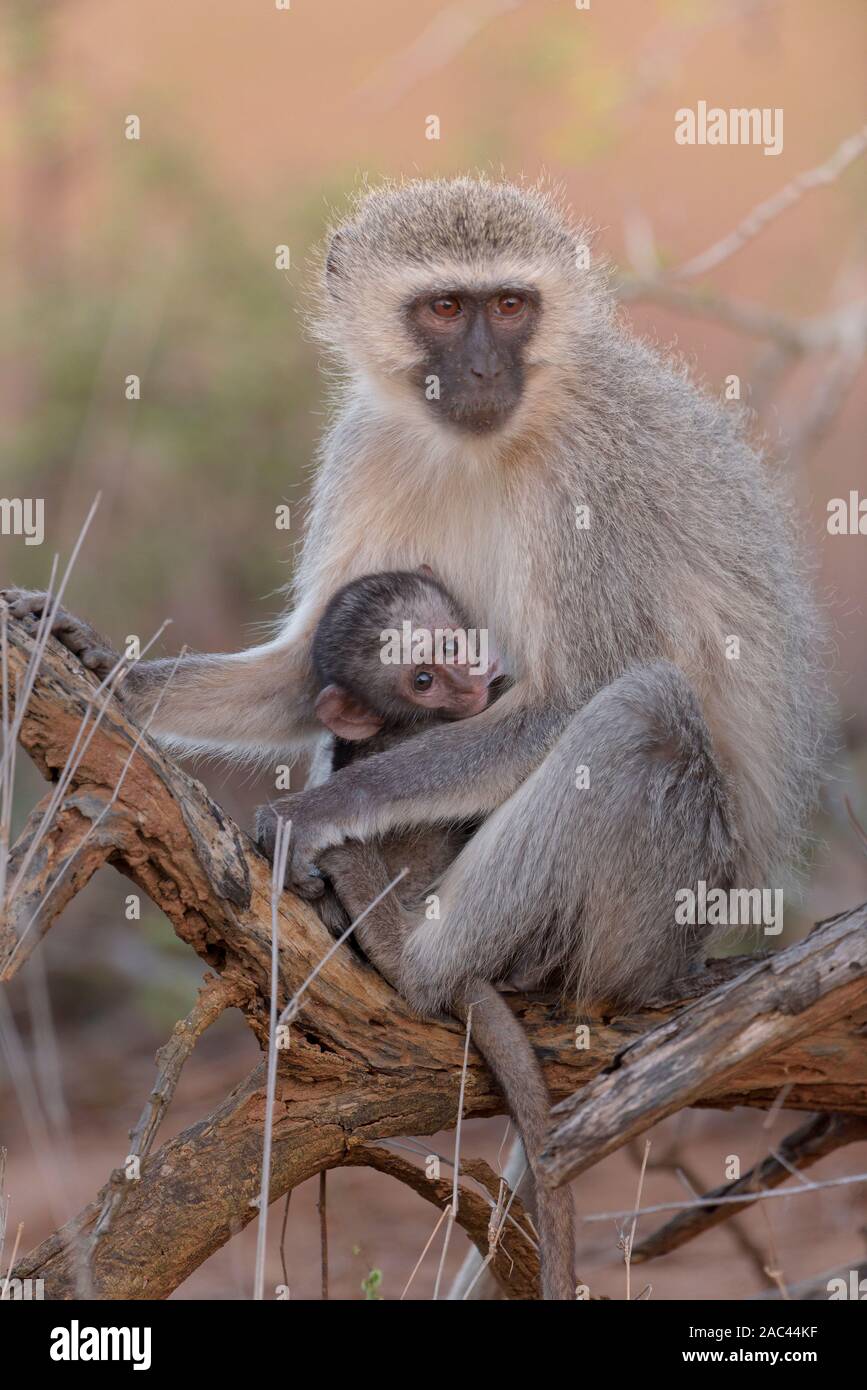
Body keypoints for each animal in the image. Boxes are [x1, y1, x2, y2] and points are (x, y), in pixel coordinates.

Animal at [4, 174, 828, 1192]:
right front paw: (101, 668)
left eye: (509, 306)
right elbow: (306, 670)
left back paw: (414, 957)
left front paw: (320, 814)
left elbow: (574, 695)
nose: (478, 370)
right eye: (443, 308)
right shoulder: (368, 444)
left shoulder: (596, 475)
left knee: (641, 714)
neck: (493, 437)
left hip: (657, 923)